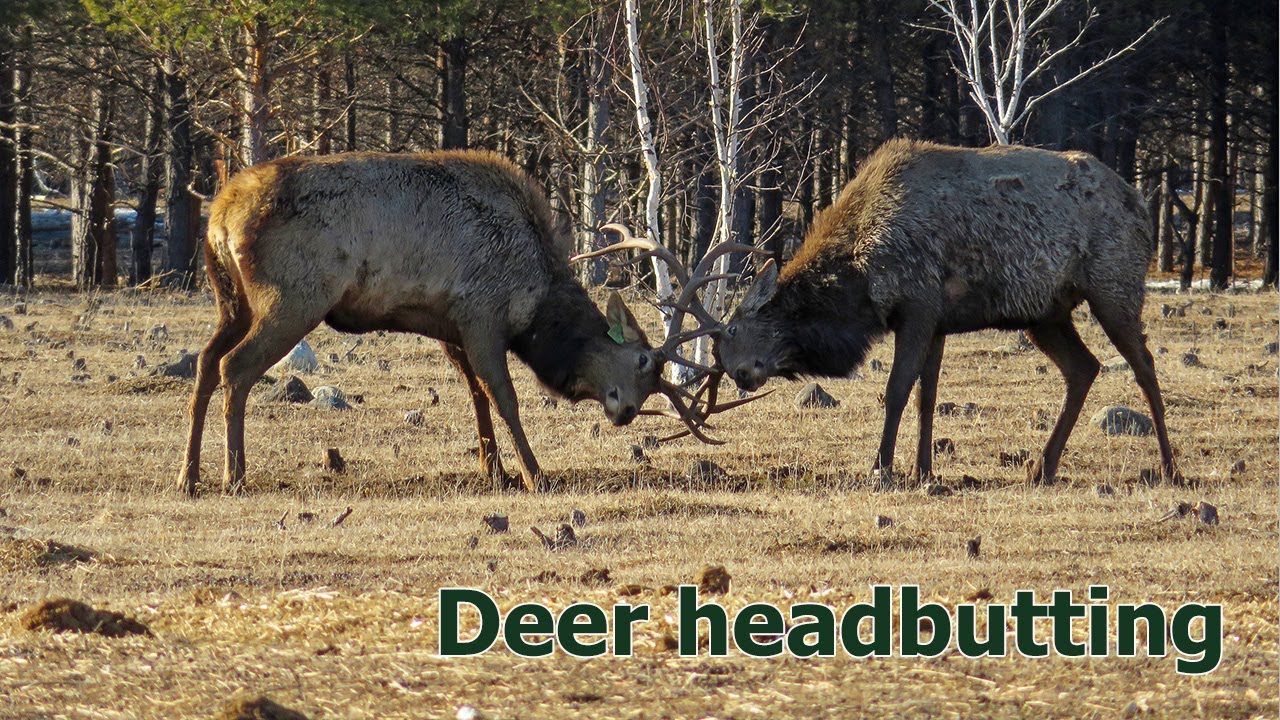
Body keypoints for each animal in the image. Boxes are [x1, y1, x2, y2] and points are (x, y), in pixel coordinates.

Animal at [179, 150, 743, 496]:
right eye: (644, 360)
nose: (624, 412)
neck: (536, 307)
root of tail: (219, 216)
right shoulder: (481, 314)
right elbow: (504, 396)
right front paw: (534, 474)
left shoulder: (450, 327)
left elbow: (475, 394)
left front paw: (493, 471)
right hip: (292, 298)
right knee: (235, 366)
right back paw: (233, 475)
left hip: (232, 301)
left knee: (205, 361)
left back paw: (189, 476)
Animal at [714, 138, 1182, 487]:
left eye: (733, 329)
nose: (741, 374)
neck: (857, 276)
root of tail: (1140, 204)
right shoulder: (937, 320)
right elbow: (928, 395)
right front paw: (923, 470)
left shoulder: (918, 306)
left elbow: (897, 390)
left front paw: (881, 467)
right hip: (1046, 315)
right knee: (1084, 367)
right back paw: (1041, 467)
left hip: (1114, 287)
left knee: (1144, 366)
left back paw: (1169, 468)